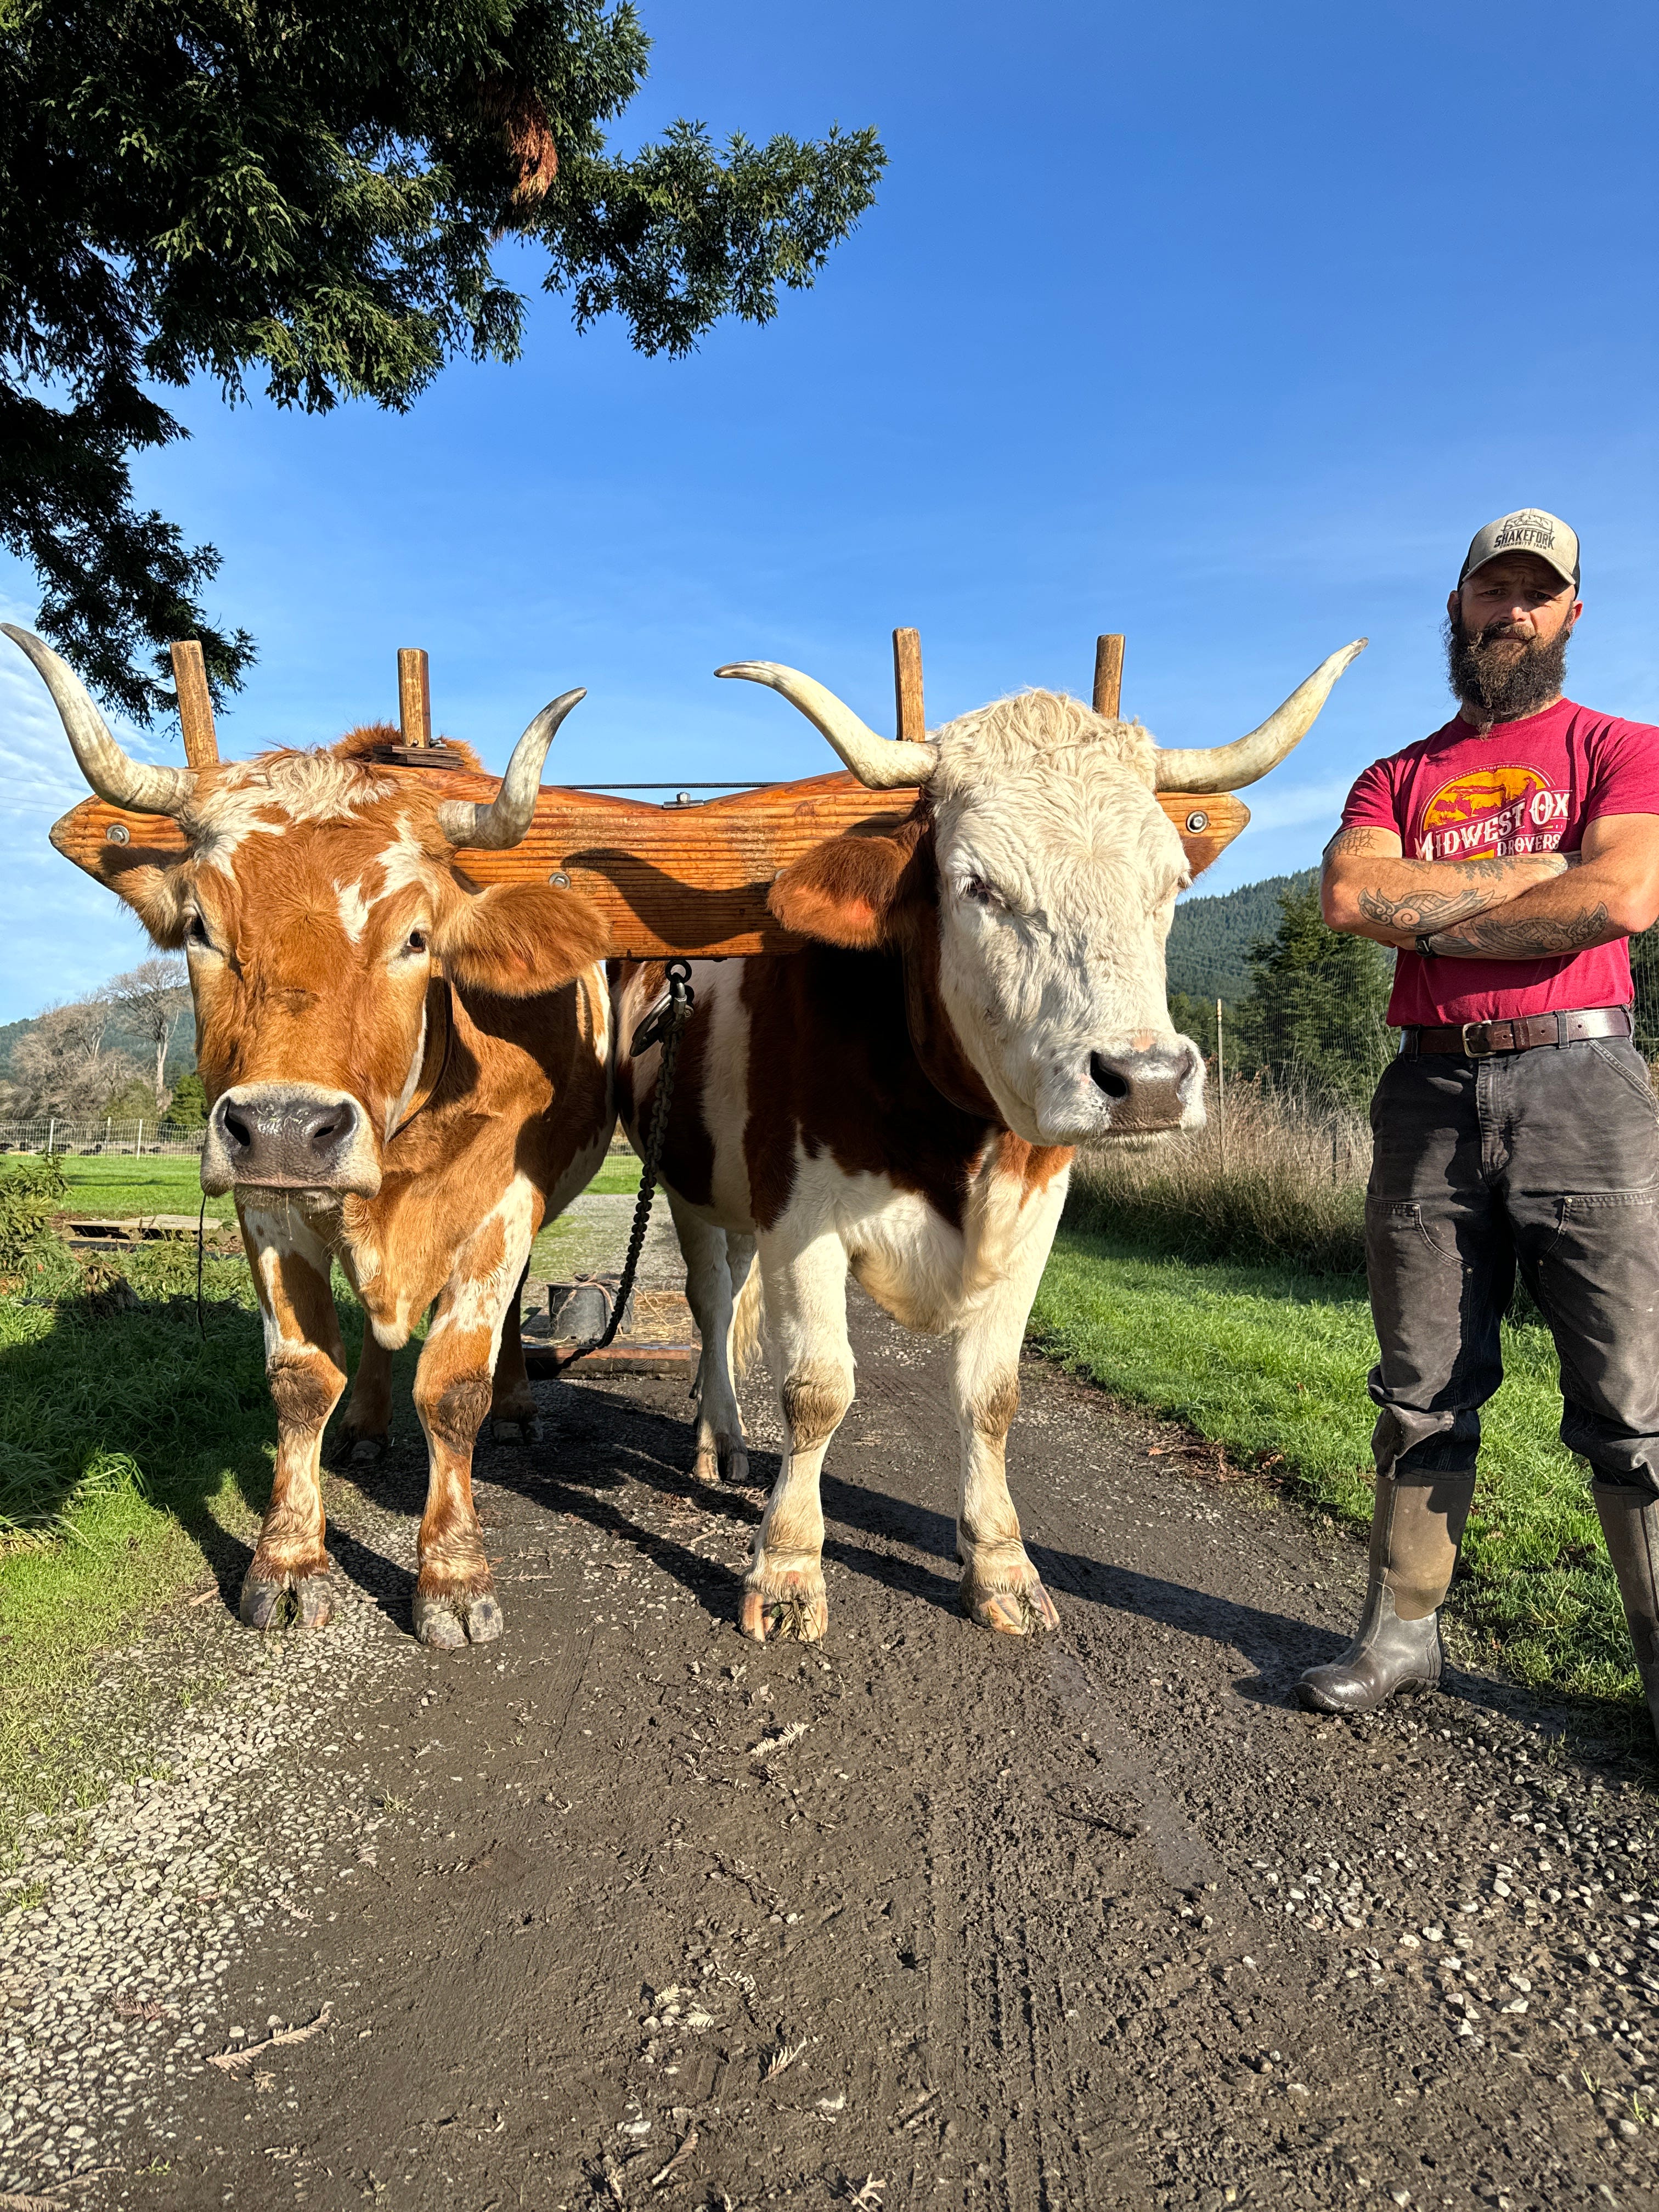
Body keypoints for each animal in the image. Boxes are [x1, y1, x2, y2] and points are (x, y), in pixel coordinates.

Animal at [9, 626, 612, 1649]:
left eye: (417, 937)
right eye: (200, 928)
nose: (288, 1127)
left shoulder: (503, 1201)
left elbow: (453, 1387)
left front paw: (453, 1574)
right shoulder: (267, 1207)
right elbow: (301, 1378)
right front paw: (288, 1561)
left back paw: (517, 1406)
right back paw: (367, 1424)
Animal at [615, 644, 1364, 1644]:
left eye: (1169, 881)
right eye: (977, 886)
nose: (1148, 1081)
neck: (948, 1132)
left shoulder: (1035, 1211)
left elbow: (991, 1395)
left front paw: (999, 1563)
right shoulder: (800, 1216)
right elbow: (816, 1389)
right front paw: (787, 1567)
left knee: (730, 1298)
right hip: (692, 1184)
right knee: (708, 1301)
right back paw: (722, 1434)